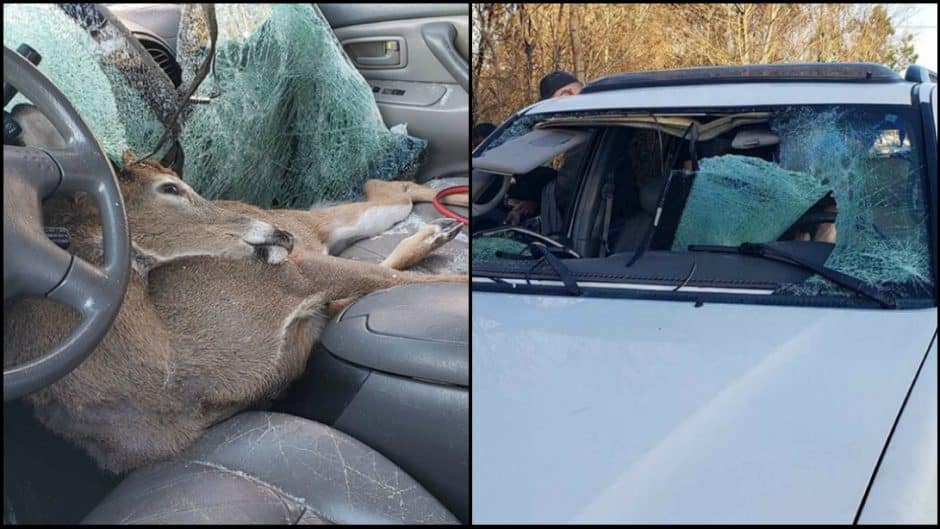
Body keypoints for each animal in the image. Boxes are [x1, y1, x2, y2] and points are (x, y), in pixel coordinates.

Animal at [4, 152, 467, 474]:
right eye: (170, 188)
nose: (278, 236)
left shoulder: (292, 277)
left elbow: (396, 281)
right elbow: (386, 282)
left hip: (313, 229)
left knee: (386, 190)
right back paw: (438, 229)